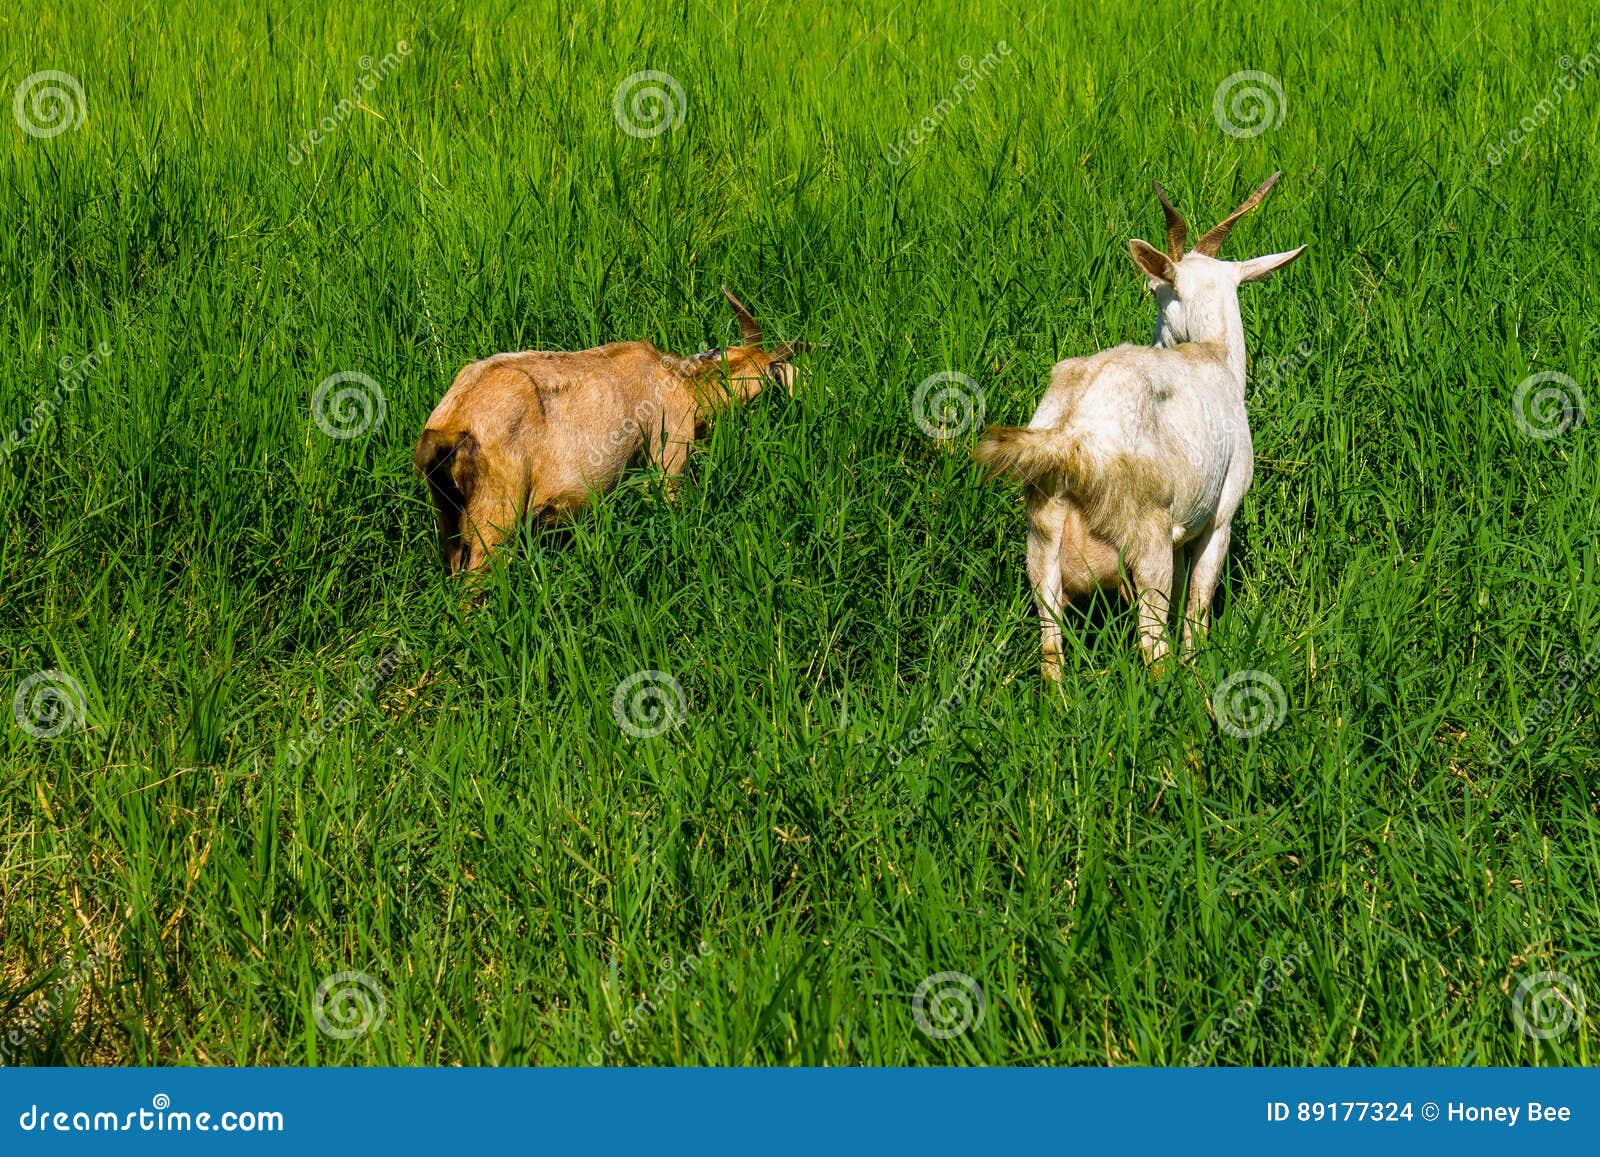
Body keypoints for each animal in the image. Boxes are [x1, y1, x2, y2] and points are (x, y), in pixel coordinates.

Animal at [974, 173, 1304, 676]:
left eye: (1152, 289)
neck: (1215, 356)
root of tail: (1071, 437)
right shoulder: (1221, 515)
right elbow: (1198, 603)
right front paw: (1196, 665)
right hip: (1147, 539)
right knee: (1152, 644)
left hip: (1041, 540)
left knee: (1051, 646)